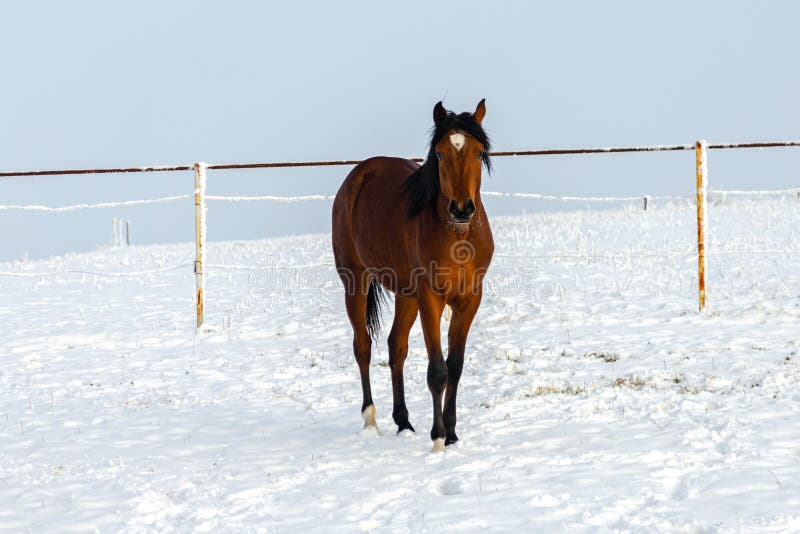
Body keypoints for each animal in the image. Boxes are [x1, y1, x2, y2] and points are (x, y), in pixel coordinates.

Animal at [332, 100, 493, 452]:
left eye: (478, 152)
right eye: (440, 154)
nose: (462, 209)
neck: (458, 238)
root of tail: (357, 176)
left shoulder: (469, 299)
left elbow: (455, 366)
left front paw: (452, 434)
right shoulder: (431, 298)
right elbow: (438, 370)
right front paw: (437, 439)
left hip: (406, 294)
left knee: (396, 347)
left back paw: (403, 421)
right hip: (355, 281)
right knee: (363, 346)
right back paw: (371, 419)